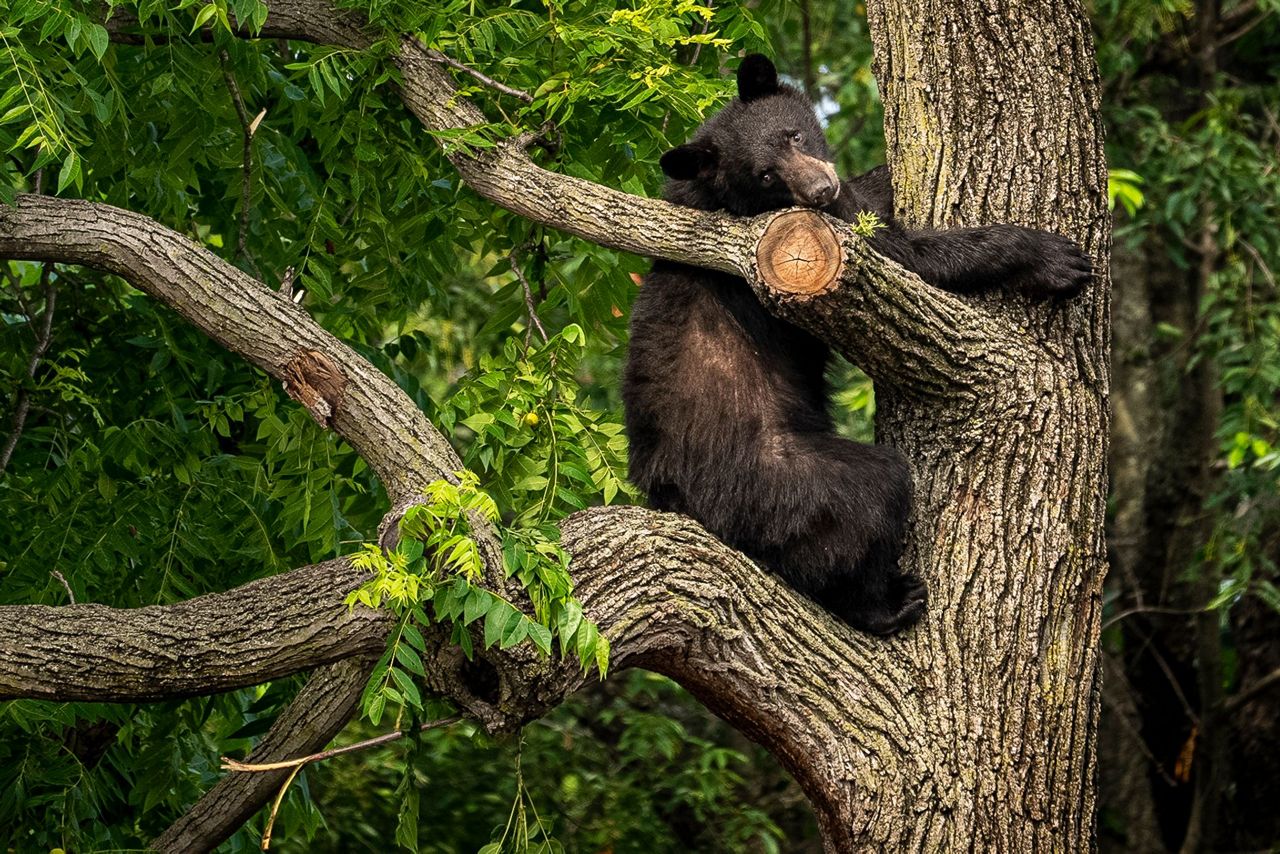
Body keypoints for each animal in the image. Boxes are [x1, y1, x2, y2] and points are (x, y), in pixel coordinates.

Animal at [622, 54, 1092, 635]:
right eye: (766, 175)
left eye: (796, 134)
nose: (820, 189)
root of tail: (671, 495)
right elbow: (908, 259)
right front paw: (1052, 259)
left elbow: (868, 201)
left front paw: (880, 173)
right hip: (777, 479)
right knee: (868, 499)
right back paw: (887, 601)